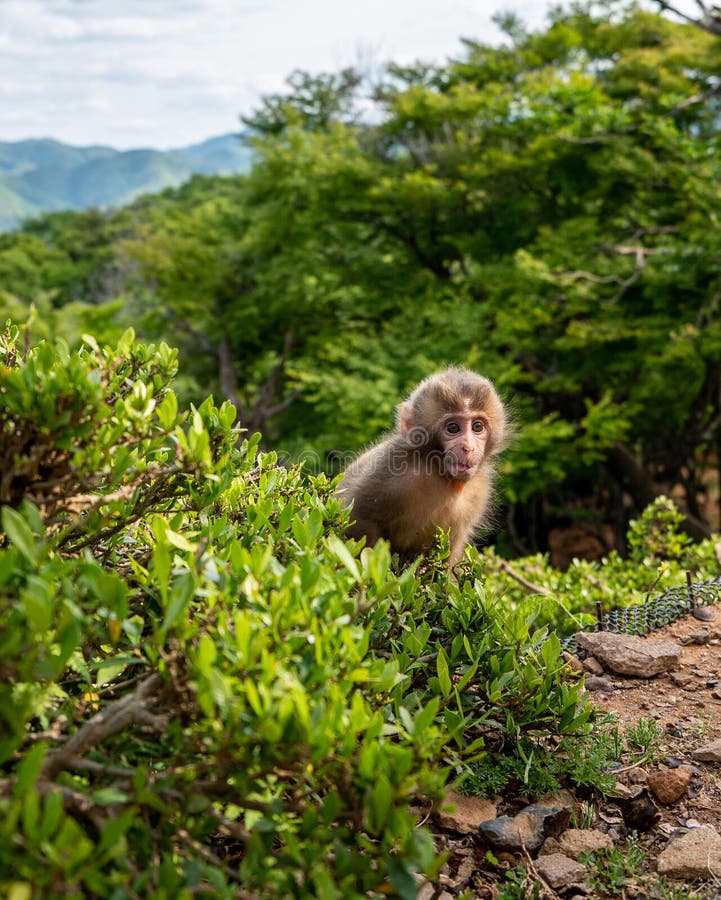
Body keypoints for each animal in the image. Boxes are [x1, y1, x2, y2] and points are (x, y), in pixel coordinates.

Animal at [336, 366, 508, 566]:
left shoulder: (479, 490)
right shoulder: (392, 472)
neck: (442, 475)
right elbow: (358, 517)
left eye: (477, 426)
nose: (468, 447)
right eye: (453, 428)